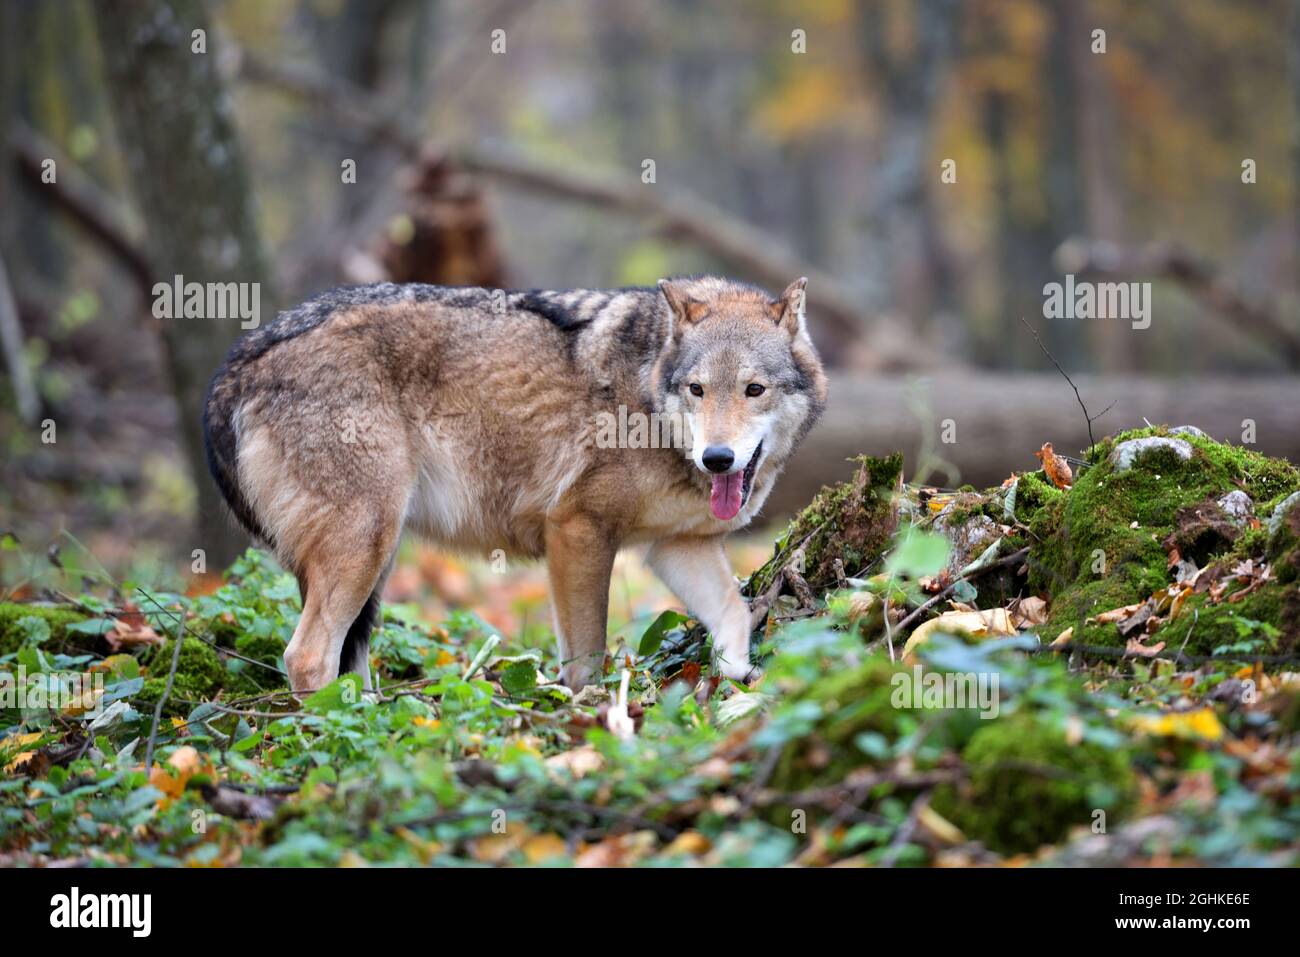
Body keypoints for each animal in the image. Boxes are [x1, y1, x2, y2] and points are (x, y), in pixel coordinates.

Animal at [203, 276, 827, 693]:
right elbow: (585, 660)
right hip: (366, 543)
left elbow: (733, 615)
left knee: (345, 661)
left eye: (753, 389)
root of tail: (234, 365)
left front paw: (736, 688)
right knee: (306, 656)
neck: (648, 398)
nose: (717, 459)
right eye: (698, 390)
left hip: (376, 555)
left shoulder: (676, 546)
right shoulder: (576, 531)